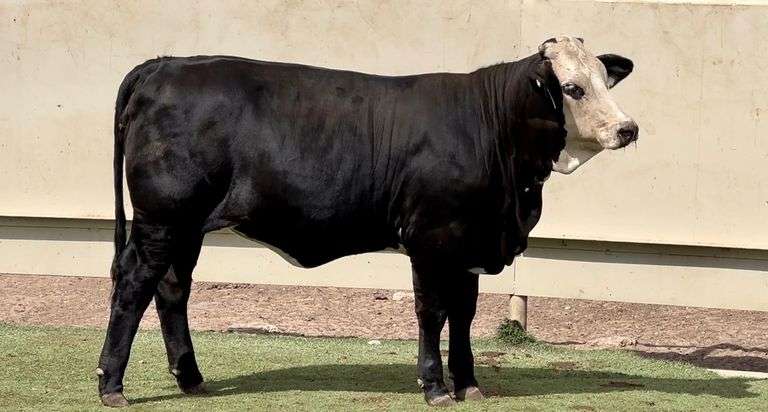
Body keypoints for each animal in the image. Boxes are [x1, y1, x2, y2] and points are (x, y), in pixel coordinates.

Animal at [96, 36, 637, 407]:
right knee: (134, 286)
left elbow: (463, 315)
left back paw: (191, 378)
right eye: (572, 88)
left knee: (172, 288)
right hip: (162, 220)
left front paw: (469, 385)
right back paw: (112, 385)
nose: (628, 129)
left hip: (185, 226)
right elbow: (432, 313)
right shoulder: (431, 240)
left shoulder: (469, 246)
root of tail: (167, 63)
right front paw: (435, 386)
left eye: (605, 80)